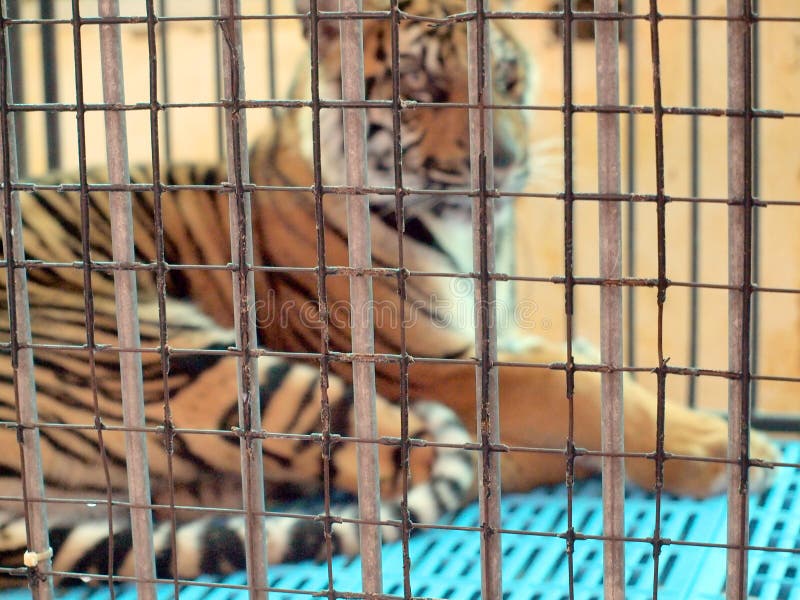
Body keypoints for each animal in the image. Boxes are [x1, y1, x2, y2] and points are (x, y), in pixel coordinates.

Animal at [0, 0, 780, 588]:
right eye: (420, 87)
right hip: (199, 365)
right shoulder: (429, 364)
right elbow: (579, 387)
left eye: (506, 75)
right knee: (406, 461)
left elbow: (579, 356)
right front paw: (723, 445)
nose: (506, 160)